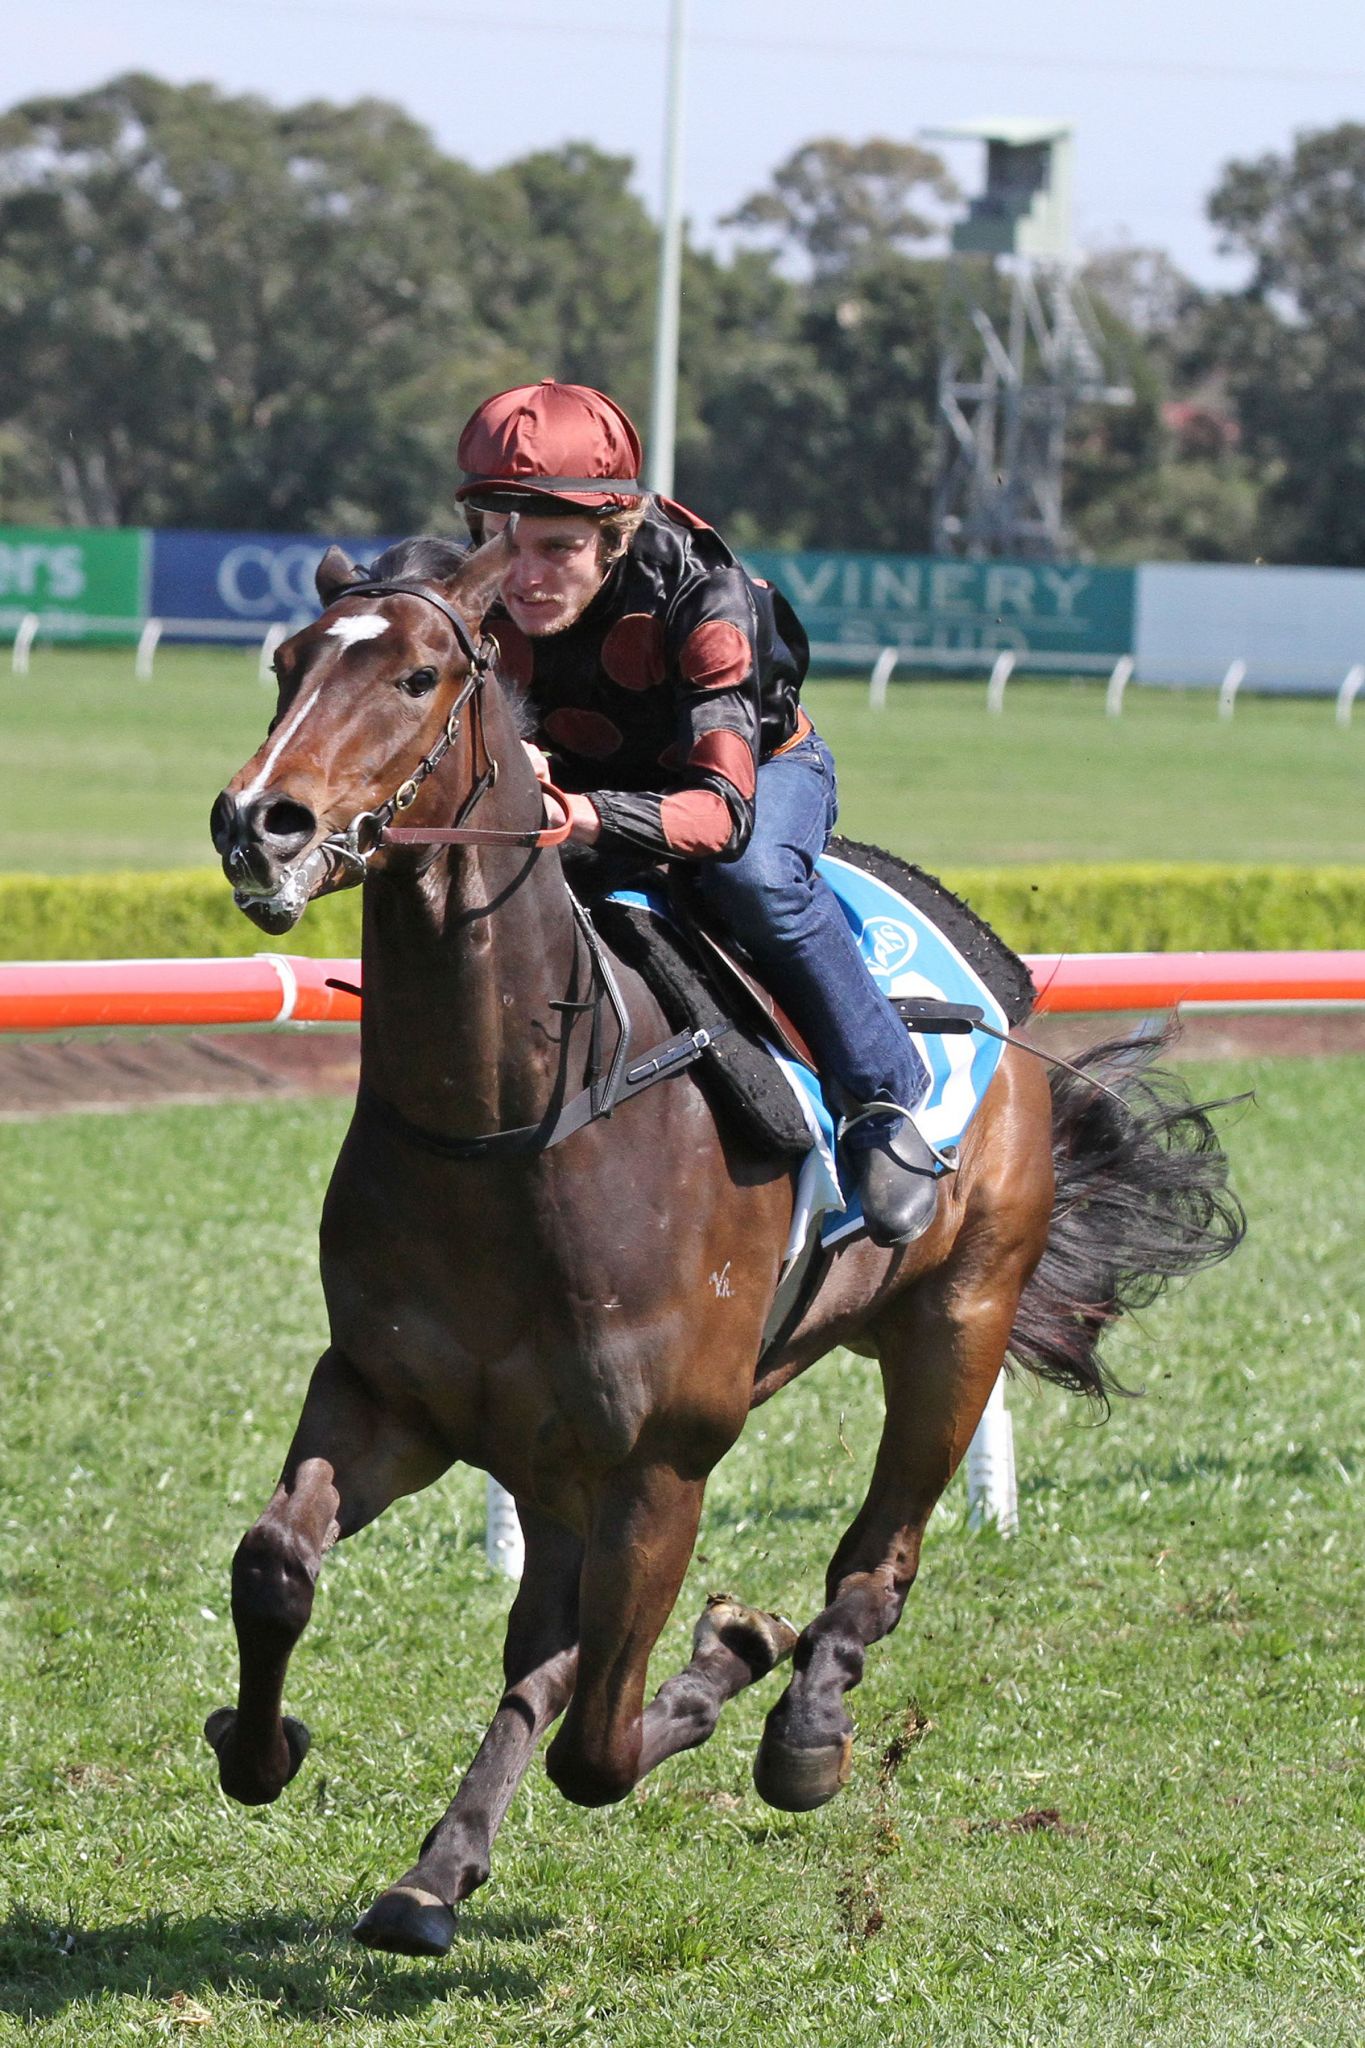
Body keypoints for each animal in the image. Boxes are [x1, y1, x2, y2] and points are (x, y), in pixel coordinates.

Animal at [205, 532, 1243, 1958]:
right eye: (288, 661)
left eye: (417, 674)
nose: (260, 821)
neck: (516, 1122)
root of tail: (1000, 988)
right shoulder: (386, 1395)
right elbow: (275, 1567)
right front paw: (259, 1743)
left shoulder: (666, 1459)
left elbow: (600, 1742)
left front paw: (732, 1658)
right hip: (557, 1460)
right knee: (544, 1642)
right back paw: (433, 1875)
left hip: (957, 1317)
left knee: (876, 1561)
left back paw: (802, 1729)